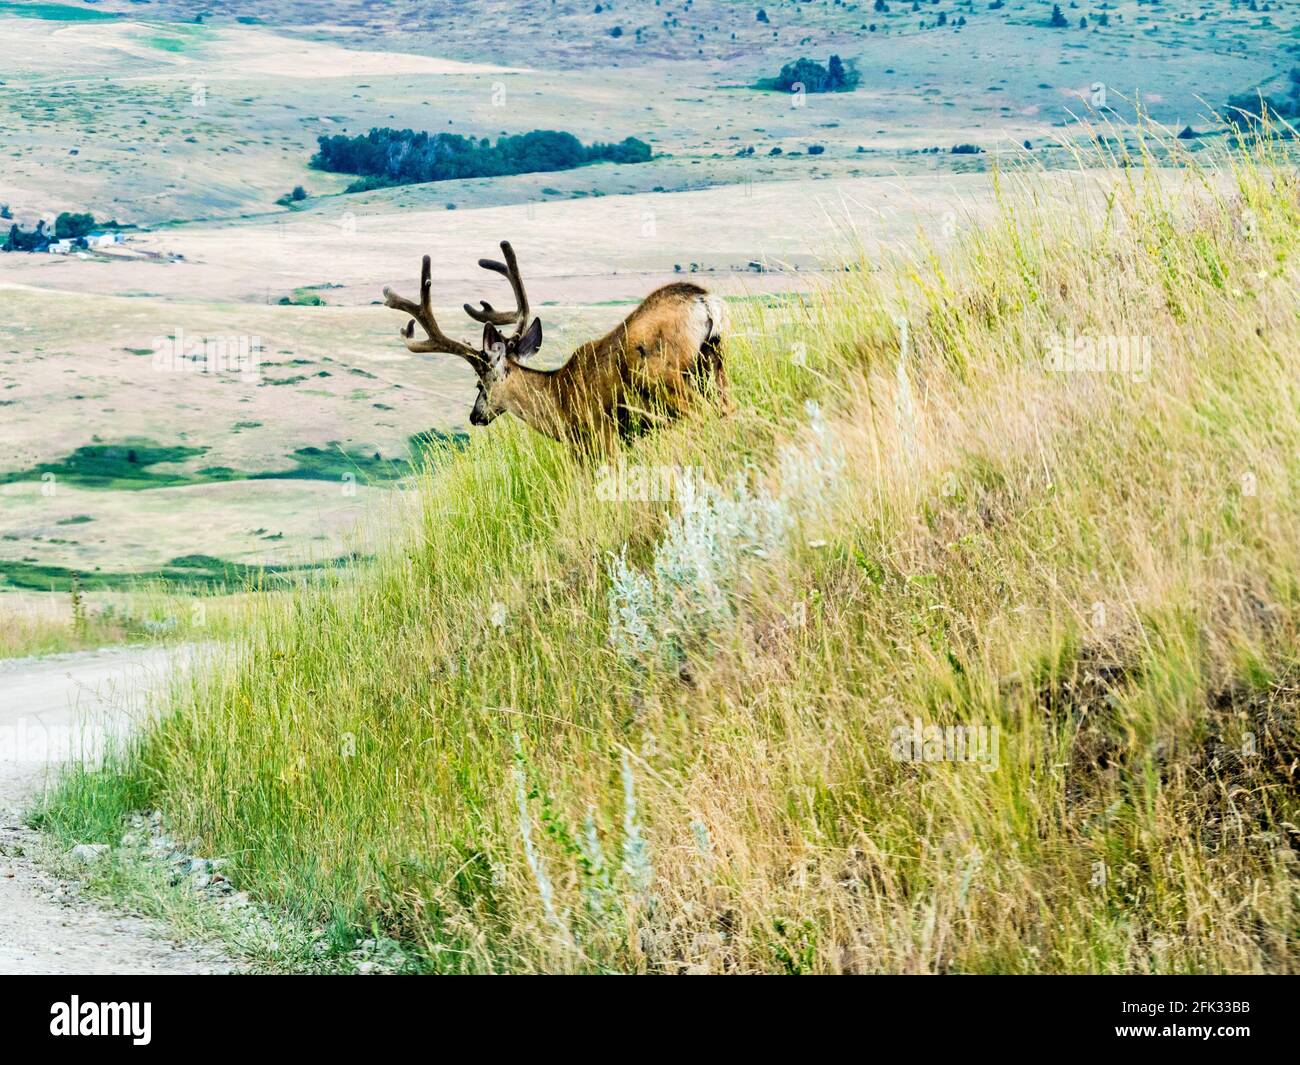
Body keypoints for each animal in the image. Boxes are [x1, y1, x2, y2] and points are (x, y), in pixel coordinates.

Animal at [382, 242, 727, 453]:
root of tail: (703, 301)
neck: (557, 398)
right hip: (715, 364)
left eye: (479, 384)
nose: (474, 416)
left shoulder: (597, 436)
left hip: (667, 378)